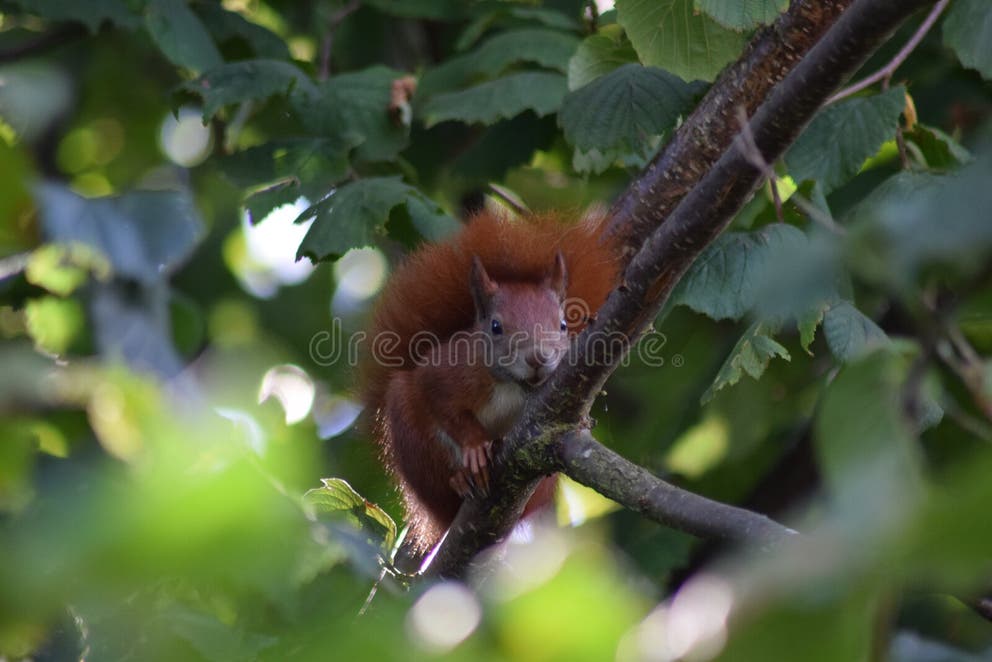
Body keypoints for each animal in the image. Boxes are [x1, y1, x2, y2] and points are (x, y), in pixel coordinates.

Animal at [359, 209, 620, 557]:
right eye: (496, 327)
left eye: (564, 325)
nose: (538, 358)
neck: (513, 385)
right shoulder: (443, 375)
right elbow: (444, 406)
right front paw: (474, 447)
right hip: (413, 442)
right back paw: (458, 480)